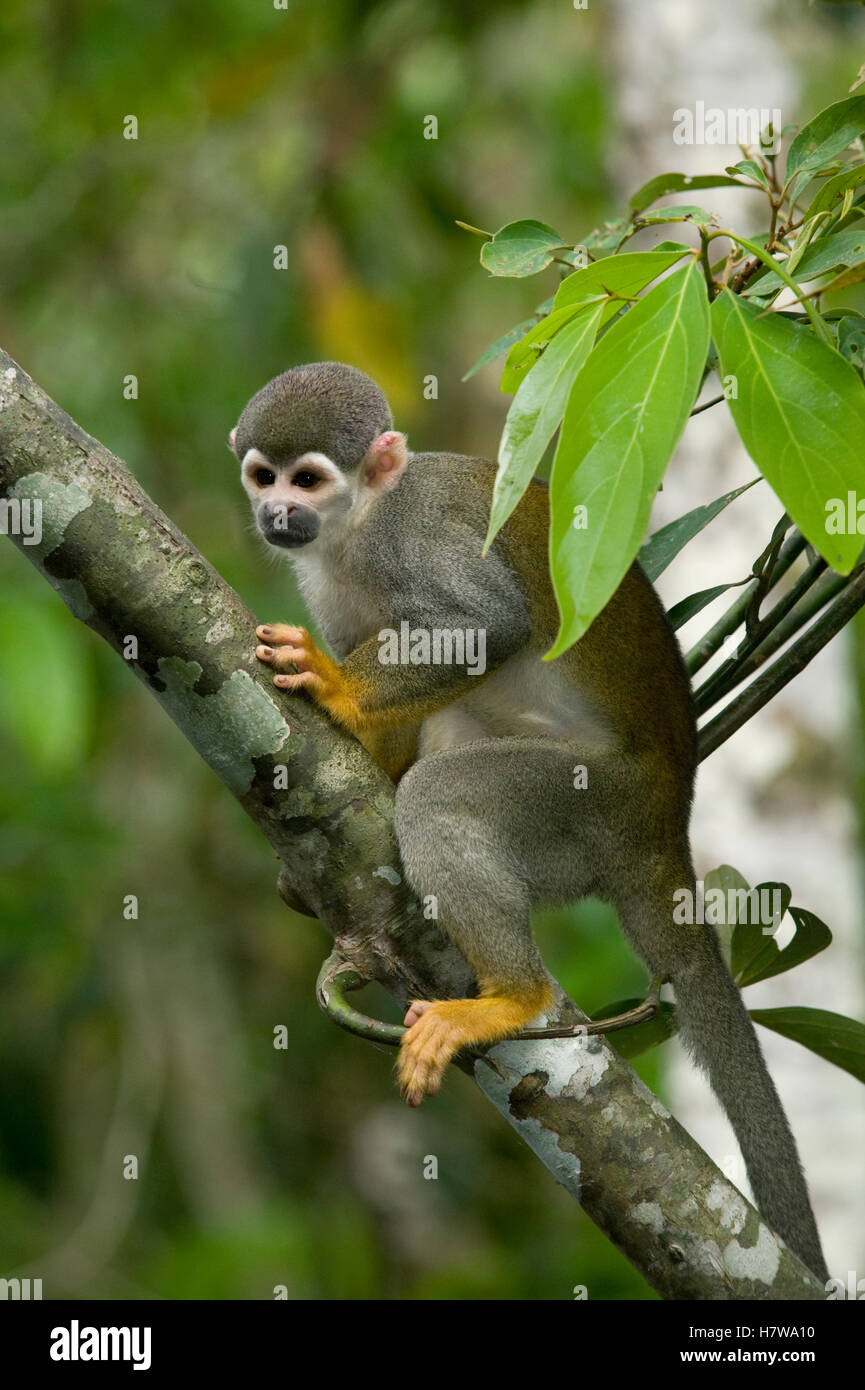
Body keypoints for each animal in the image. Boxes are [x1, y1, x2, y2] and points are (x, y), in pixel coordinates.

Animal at [230, 360, 828, 1281]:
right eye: (265, 476)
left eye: (309, 480)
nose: (277, 516)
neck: (357, 525)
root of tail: (668, 821)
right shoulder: (321, 574)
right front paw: (357, 726)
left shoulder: (415, 535)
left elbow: (491, 625)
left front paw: (334, 687)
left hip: (591, 805)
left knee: (441, 794)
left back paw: (513, 996)